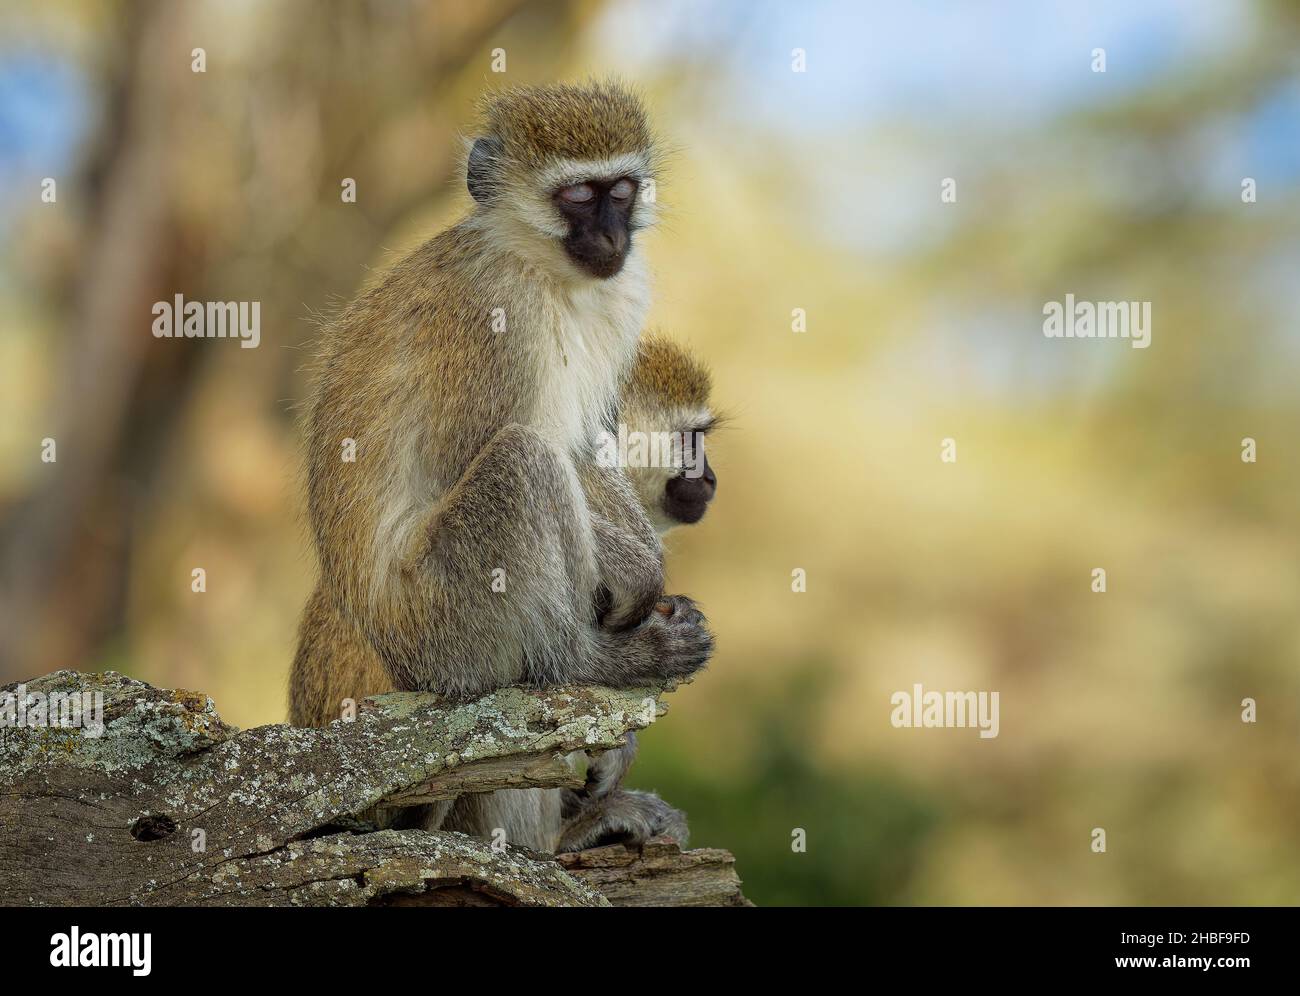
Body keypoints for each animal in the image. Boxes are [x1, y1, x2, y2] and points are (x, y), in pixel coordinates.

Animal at [292, 81, 712, 852]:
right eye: (577, 196)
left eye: (621, 190)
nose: (613, 239)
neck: (543, 270)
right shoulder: (492, 320)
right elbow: (481, 452)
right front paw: (641, 584)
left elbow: (589, 442)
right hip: (446, 627)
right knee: (522, 461)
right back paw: (588, 666)